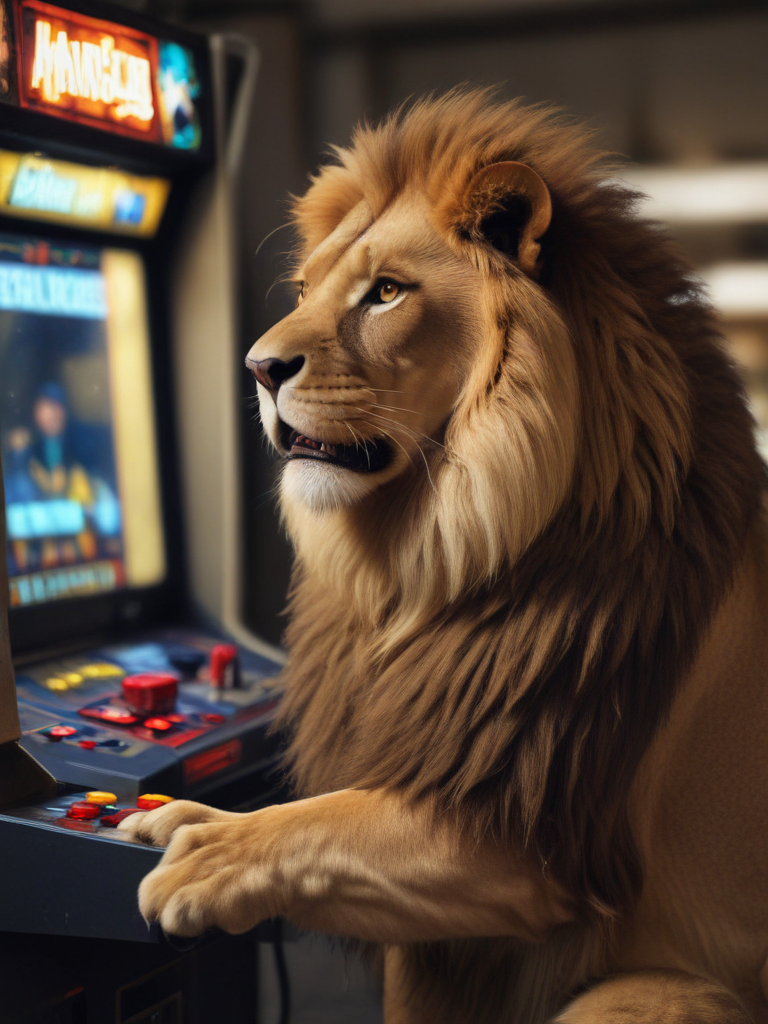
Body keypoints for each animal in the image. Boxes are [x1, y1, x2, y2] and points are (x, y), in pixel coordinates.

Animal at [119, 90, 768, 1023]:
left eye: (387, 292)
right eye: (308, 289)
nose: (258, 367)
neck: (421, 558)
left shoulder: (521, 835)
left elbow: (323, 821)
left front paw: (210, 853)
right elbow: (332, 824)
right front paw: (182, 817)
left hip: (649, 993)